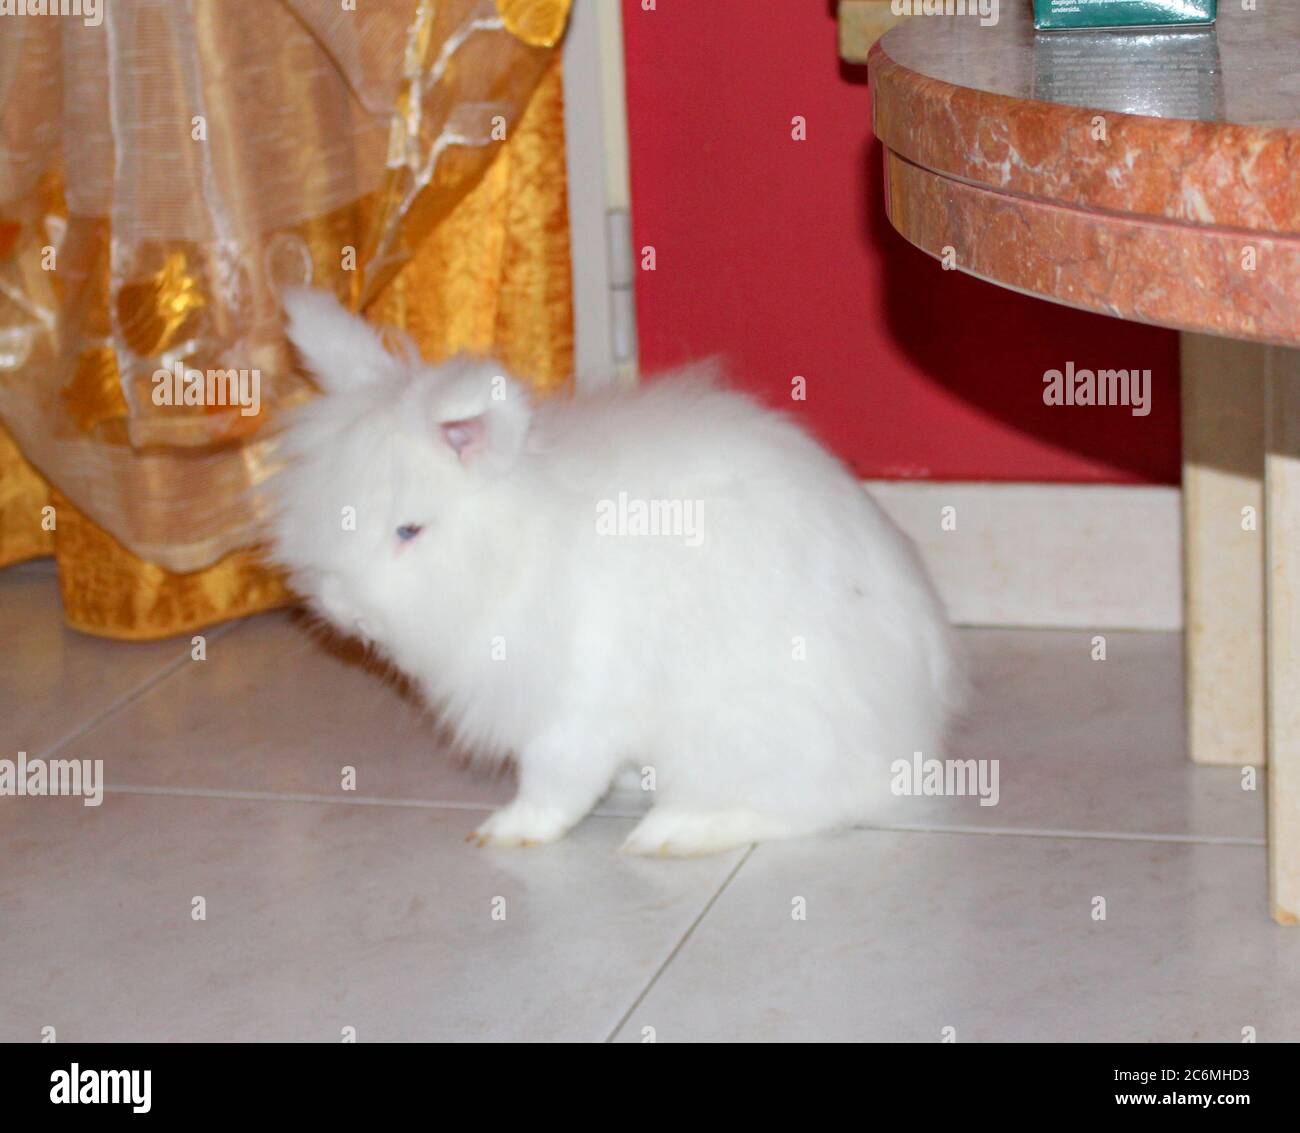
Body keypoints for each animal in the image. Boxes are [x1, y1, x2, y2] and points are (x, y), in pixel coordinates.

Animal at [264, 288, 965, 856]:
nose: (344, 610)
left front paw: (505, 831)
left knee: (812, 809)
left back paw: (672, 832)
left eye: (409, 531)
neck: (514, 549)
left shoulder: (573, 708)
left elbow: (555, 783)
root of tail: (912, 746)